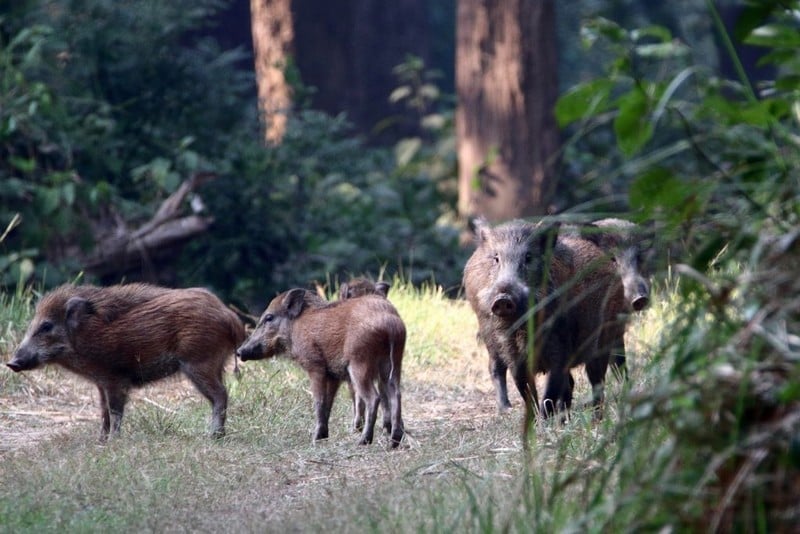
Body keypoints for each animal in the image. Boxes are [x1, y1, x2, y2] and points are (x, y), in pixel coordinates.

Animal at [6, 283, 245, 440]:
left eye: (46, 326)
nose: (11, 363)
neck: (86, 334)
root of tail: (232, 319)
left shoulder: (114, 380)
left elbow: (115, 410)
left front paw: (113, 441)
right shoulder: (100, 383)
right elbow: (103, 410)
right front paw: (100, 440)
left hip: (198, 363)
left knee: (220, 394)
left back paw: (213, 436)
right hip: (213, 364)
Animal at [236, 288, 405, 448]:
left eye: (269, 317)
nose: (239, 352)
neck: (295, 328)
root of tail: (389, 322)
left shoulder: (315, 366)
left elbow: (319, 401)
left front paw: (315, 439)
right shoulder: (333, 375)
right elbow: (328, 402)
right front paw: (322, 437)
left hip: (359, 364)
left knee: (373, 398)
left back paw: (363, 441)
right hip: (394, 362)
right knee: (396, 393)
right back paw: (394, 442)